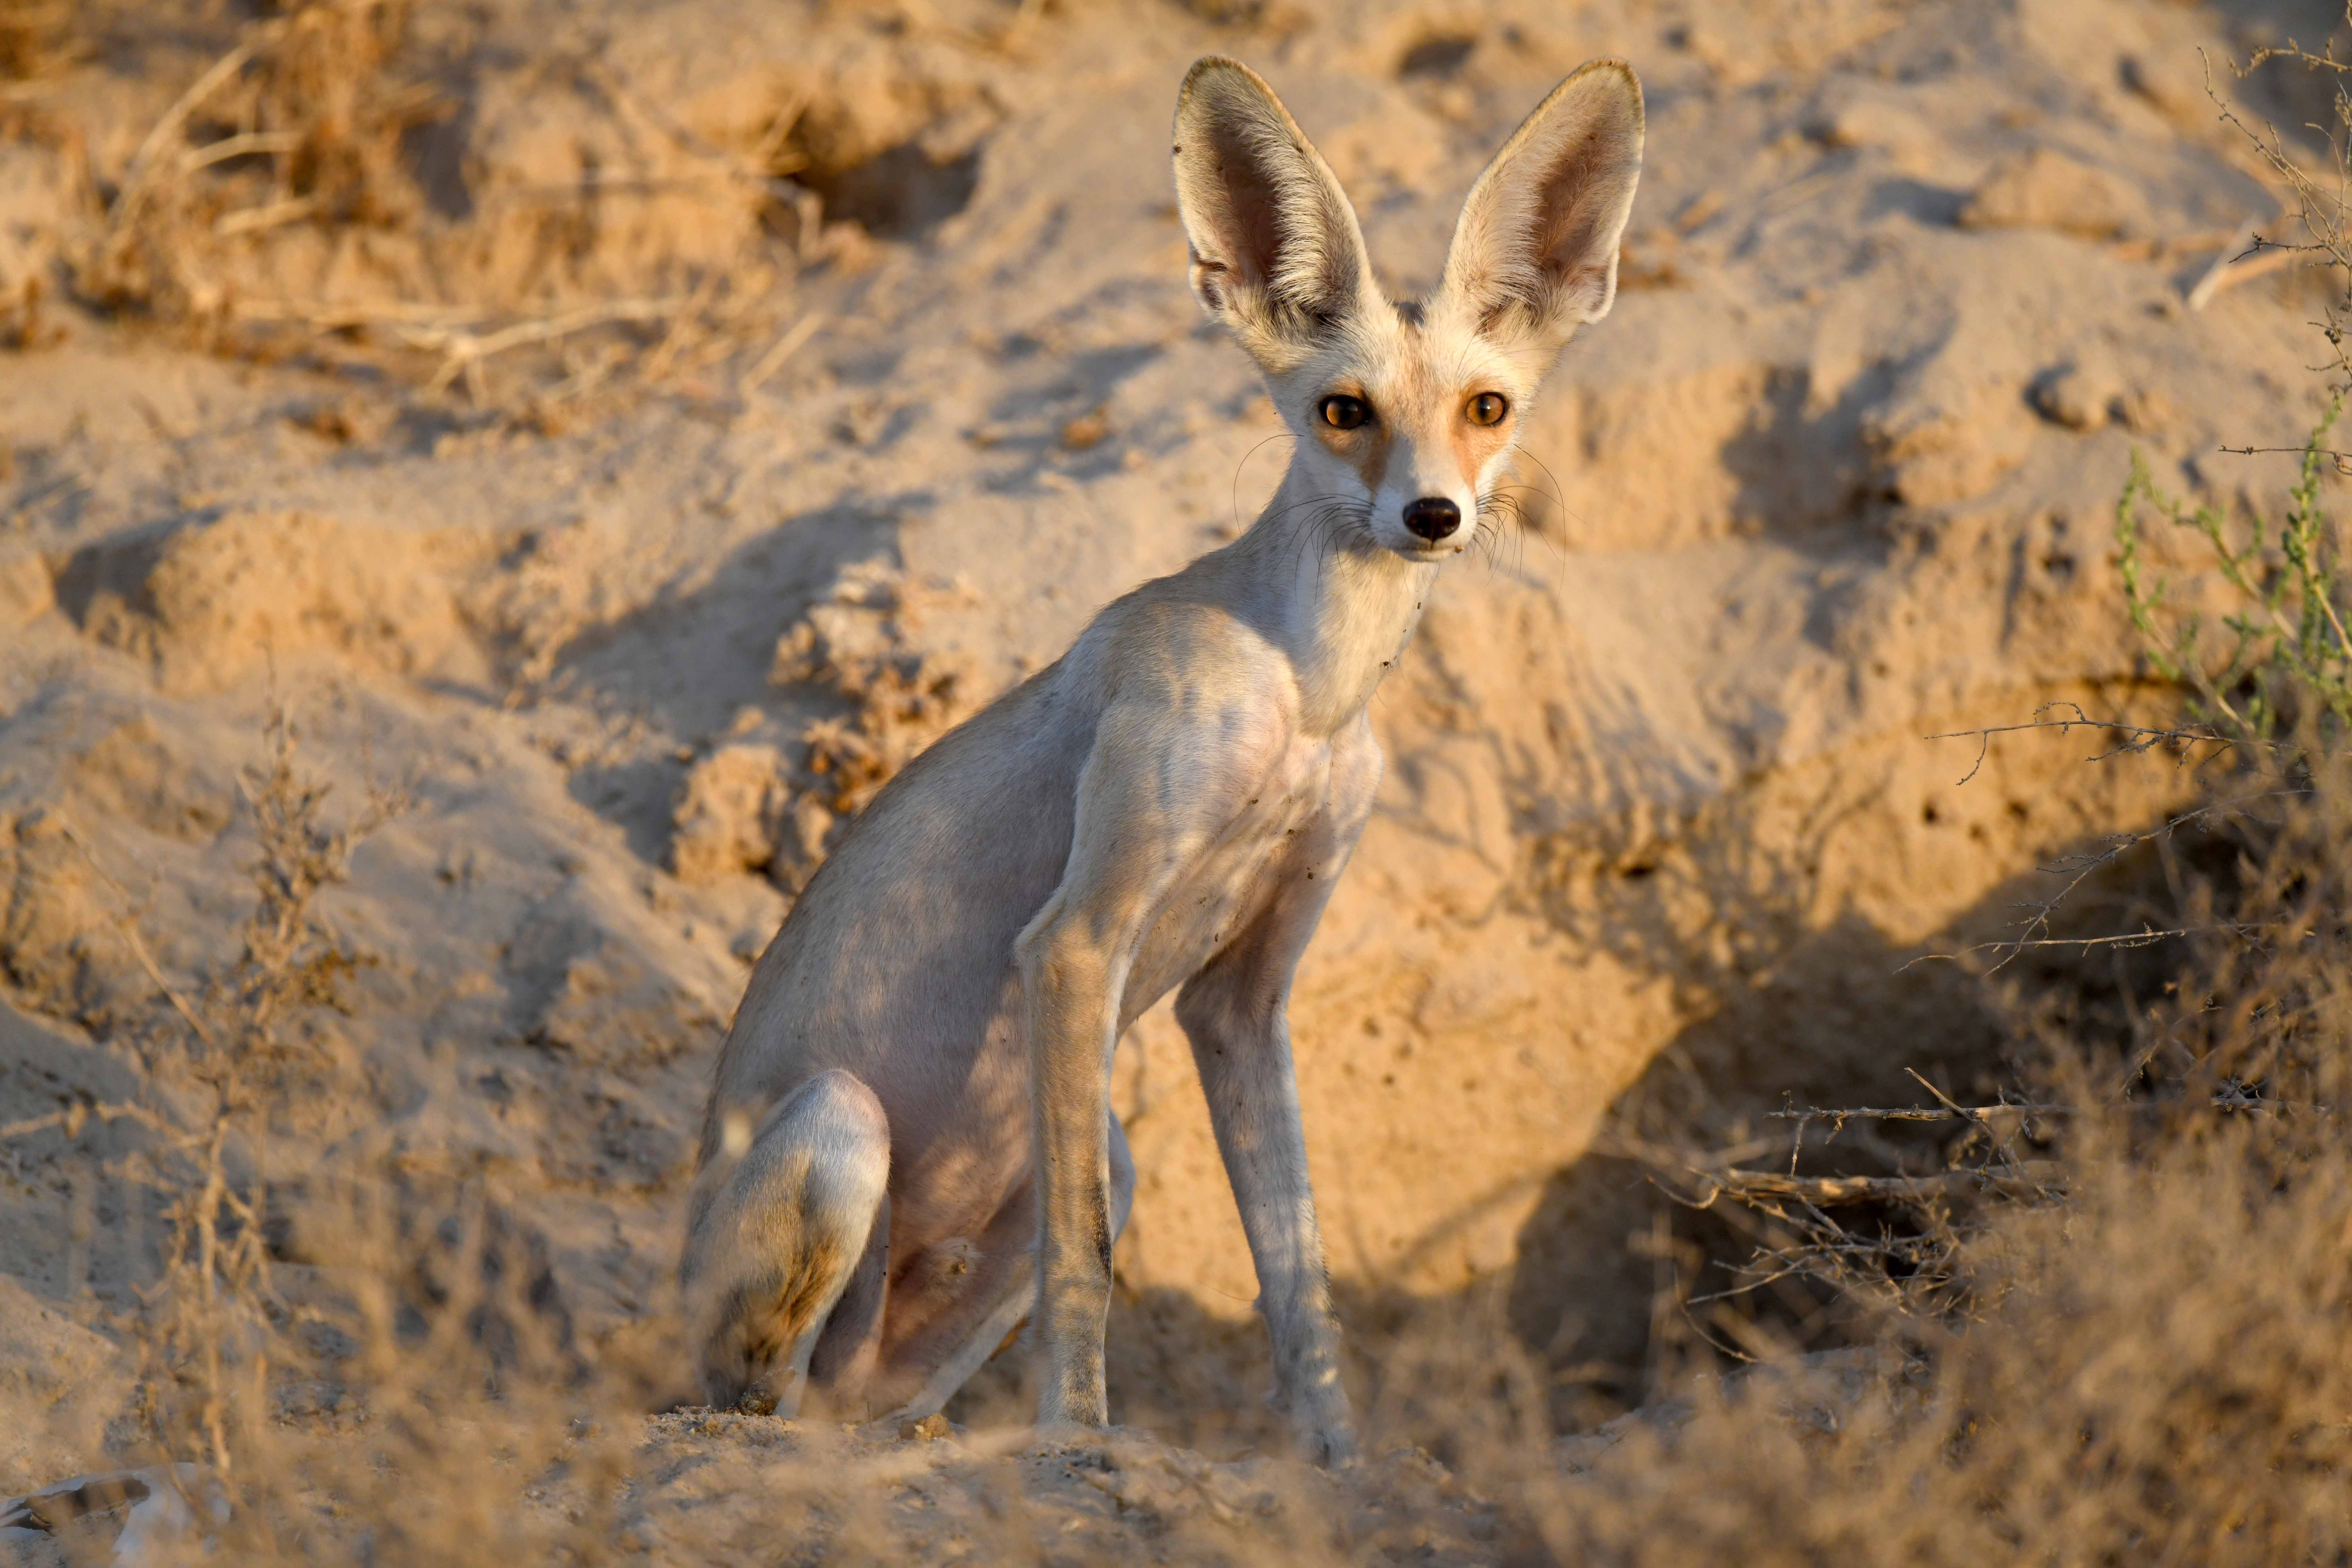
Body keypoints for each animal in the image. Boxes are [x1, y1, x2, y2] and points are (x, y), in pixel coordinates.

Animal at [680, 53, 1644, 1466]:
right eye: (1343, 411)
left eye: (1488, 409)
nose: (1433, 515)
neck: (1302, 695)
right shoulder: (1078, 942)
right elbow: (1085, 1261)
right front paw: (1077, 1438)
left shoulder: (1243, 996)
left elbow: (1300, 1281)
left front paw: (1336, 1459)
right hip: (841, 1128)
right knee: (759, 1400)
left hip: (1090, 1168)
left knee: (874, 1402)